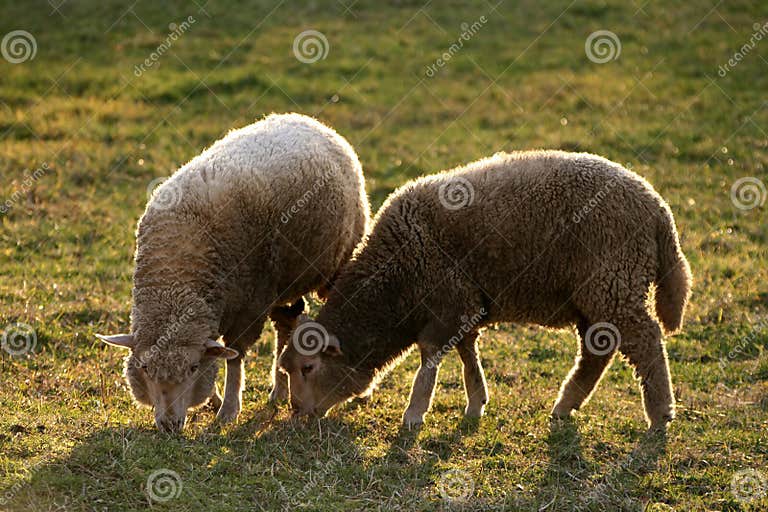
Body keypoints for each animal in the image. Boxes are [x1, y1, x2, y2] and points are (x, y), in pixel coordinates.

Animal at [97, 113, 370, 432]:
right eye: (144, 367)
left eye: (192, 368)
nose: (169, 424)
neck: (175, 277)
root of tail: (305, 119)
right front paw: (213, 400)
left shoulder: (248, 307)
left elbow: (234, 358)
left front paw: (228, 410)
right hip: (281, 280)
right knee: (286, 325)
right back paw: (279, 389)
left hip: (330, 262)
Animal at [278, 150, 692, 431]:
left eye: (308, 367)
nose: (296, 411)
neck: (395, 279)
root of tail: (658, 208)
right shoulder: (465, 304)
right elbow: (467, 356)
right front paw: (476, 402)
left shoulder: (446, 302)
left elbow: (430, 360)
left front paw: (414, 414)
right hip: (598, 292)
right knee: (598, 350)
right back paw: (566, 405)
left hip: (614, 282)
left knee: (645, 340)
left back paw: (660, 413)